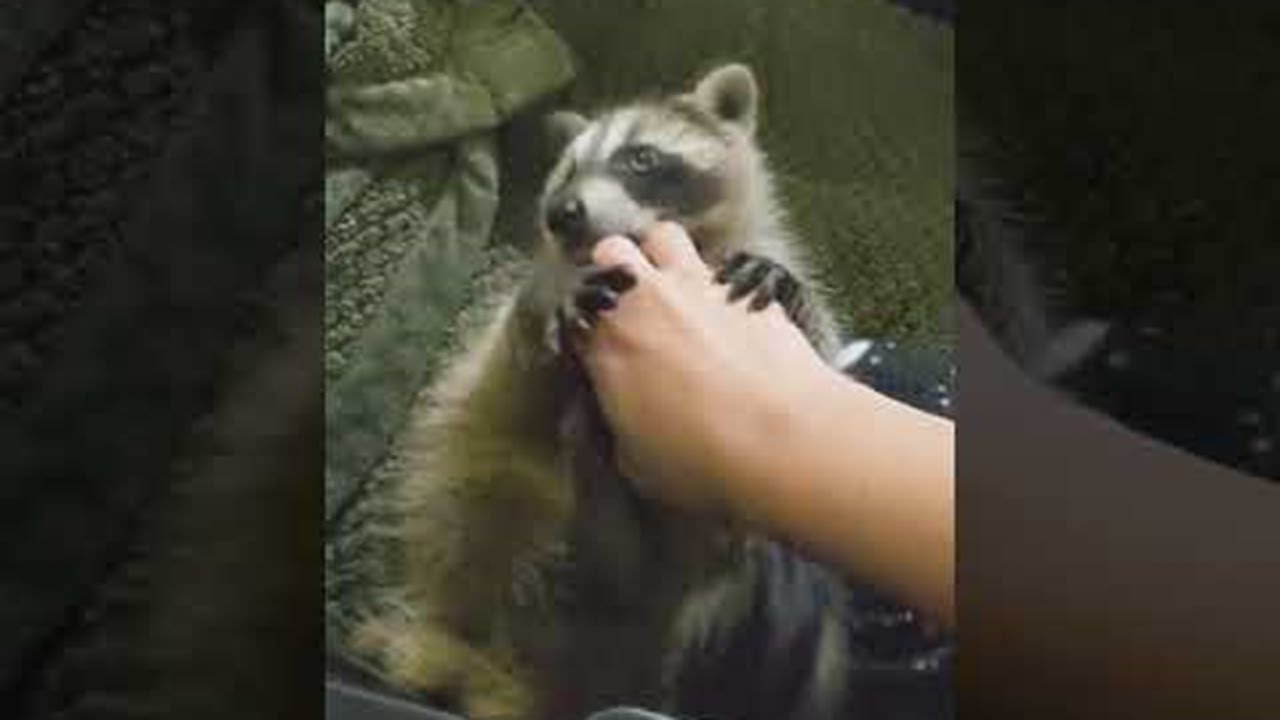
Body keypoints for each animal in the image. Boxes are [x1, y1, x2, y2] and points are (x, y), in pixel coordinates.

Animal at [351, 64, 849, 720]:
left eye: (641, 157)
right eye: (564, 172)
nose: (562, 213)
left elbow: (817, 356)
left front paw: (795, 299)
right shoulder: (513, 355)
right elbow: (515, 363)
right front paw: (551, 296)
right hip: (488, 491)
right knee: (472, 515)